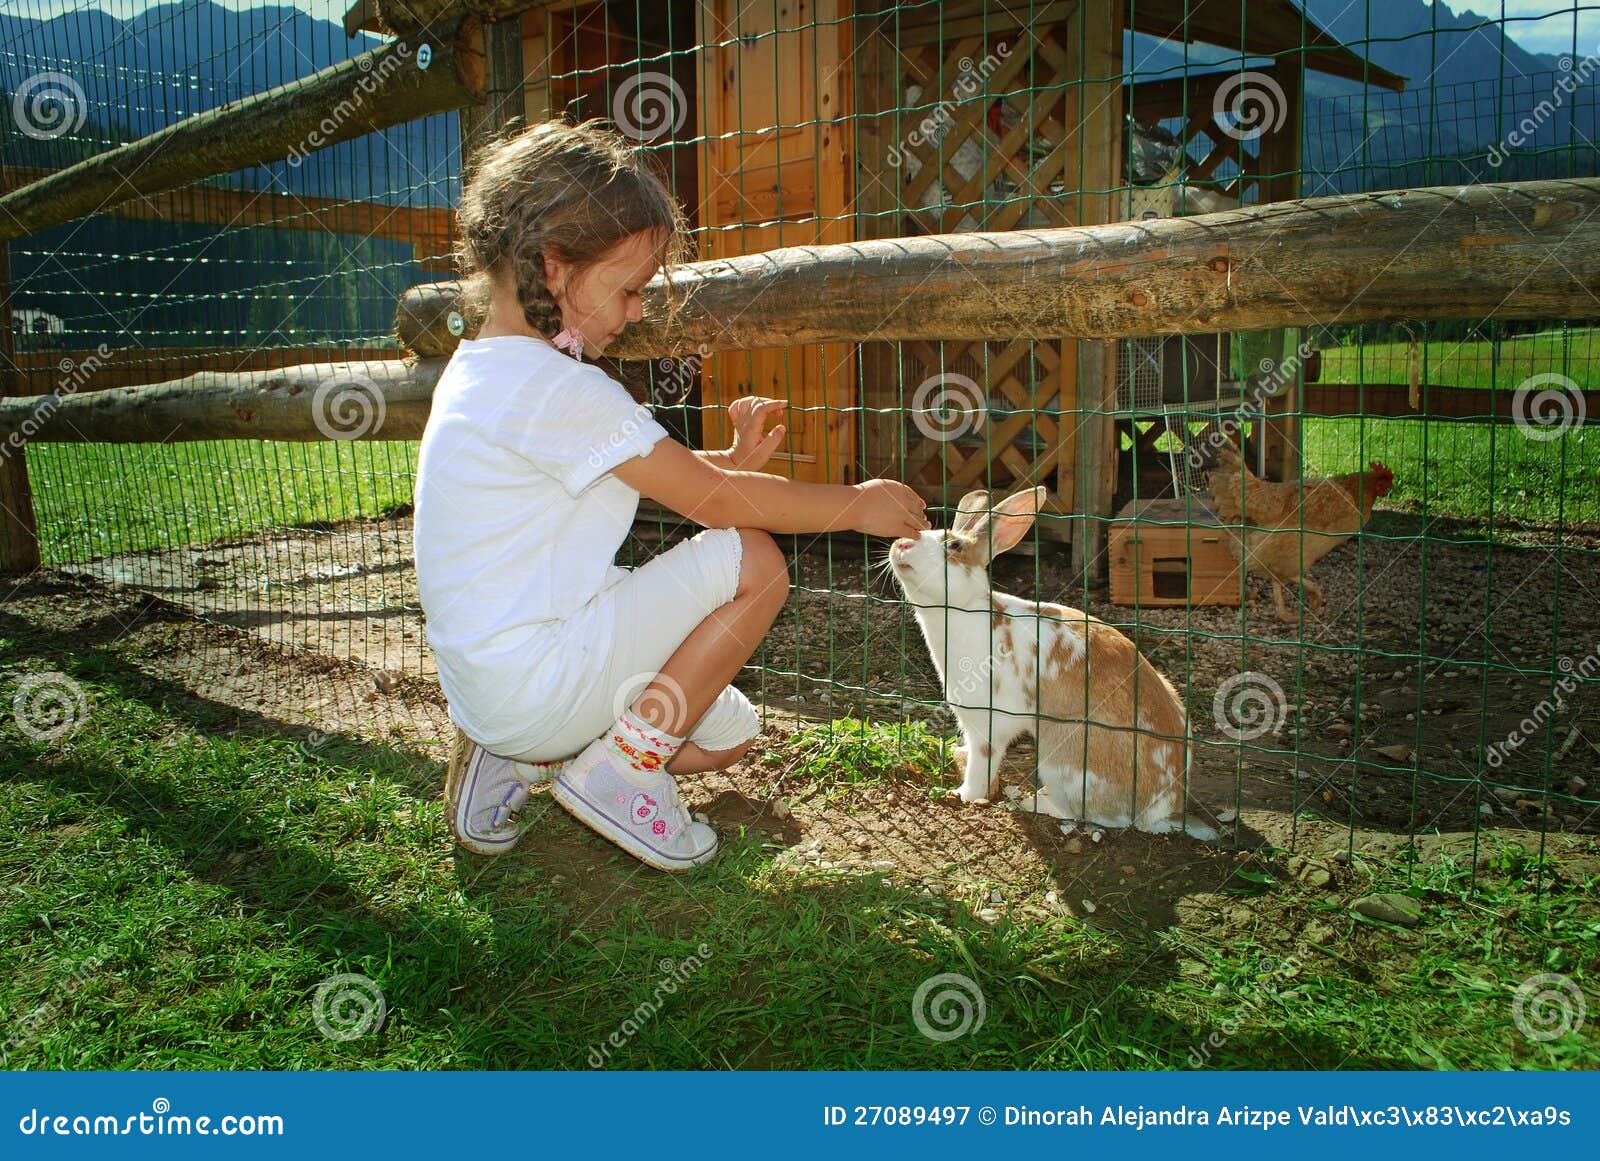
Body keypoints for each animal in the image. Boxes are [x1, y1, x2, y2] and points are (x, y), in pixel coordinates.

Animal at [887, 486, 1218, 839]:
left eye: (954, 546)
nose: (900, 544)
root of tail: (1163, 811)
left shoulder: (988, 722)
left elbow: (981, 764)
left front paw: (964, 795)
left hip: (1058, 761)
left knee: (1099, 817)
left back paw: (1032, 801)